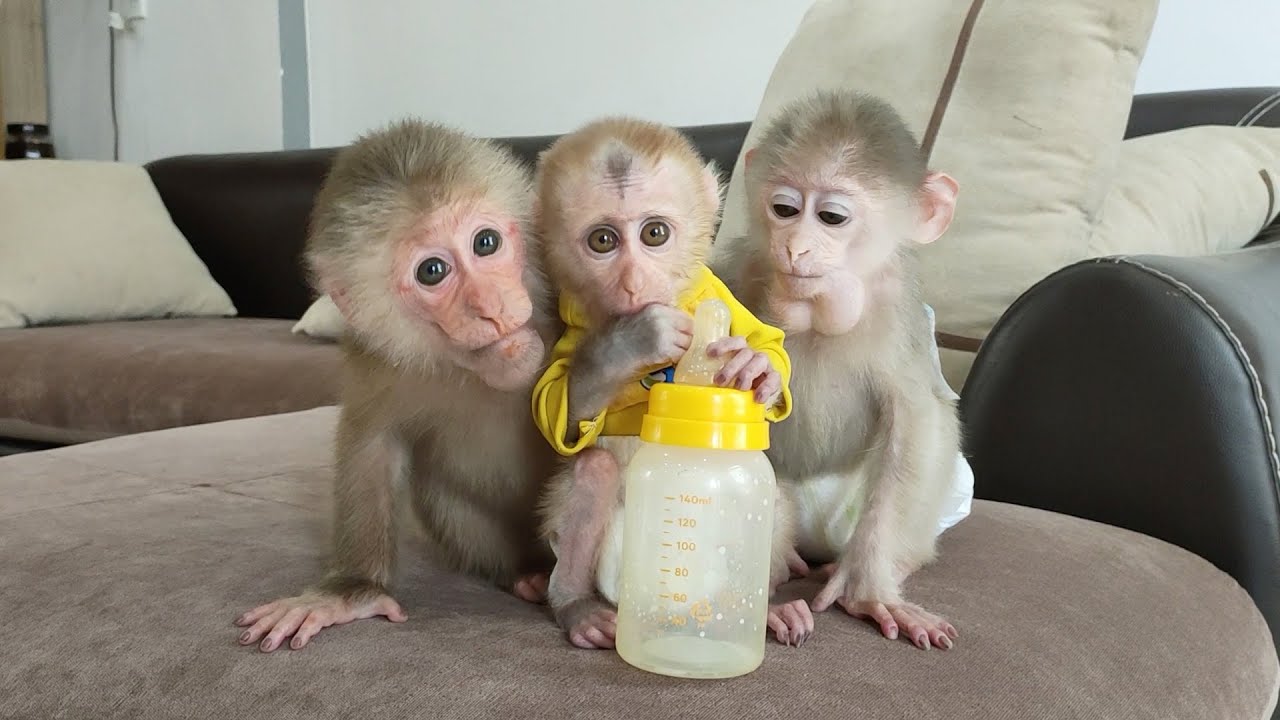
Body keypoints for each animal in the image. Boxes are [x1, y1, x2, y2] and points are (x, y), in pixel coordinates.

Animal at [233, 118, 561, 653]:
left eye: (486, 243)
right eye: (433, 271)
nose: (490, 307)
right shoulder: (375, 358)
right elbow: (372, 445)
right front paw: (351, 592)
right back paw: (524, 575)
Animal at [529, 117, 815, 651]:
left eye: (654, 233)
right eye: (603, 241)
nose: (634, 282)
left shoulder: (718, 294)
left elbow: (768, 341)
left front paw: (758, 368)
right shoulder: (571, 326)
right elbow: (551, 407)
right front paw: (632, 341)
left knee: (773, 500)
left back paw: (765, 611)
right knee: (594, 471)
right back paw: (576, 605)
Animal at [712, 89, 967, 651]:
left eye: (831, 217)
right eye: (785, 209)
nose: (794, 246)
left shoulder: (897, 312)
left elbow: (918, 420)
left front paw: (869, 590)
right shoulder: (737, 271)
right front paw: (756, 367)